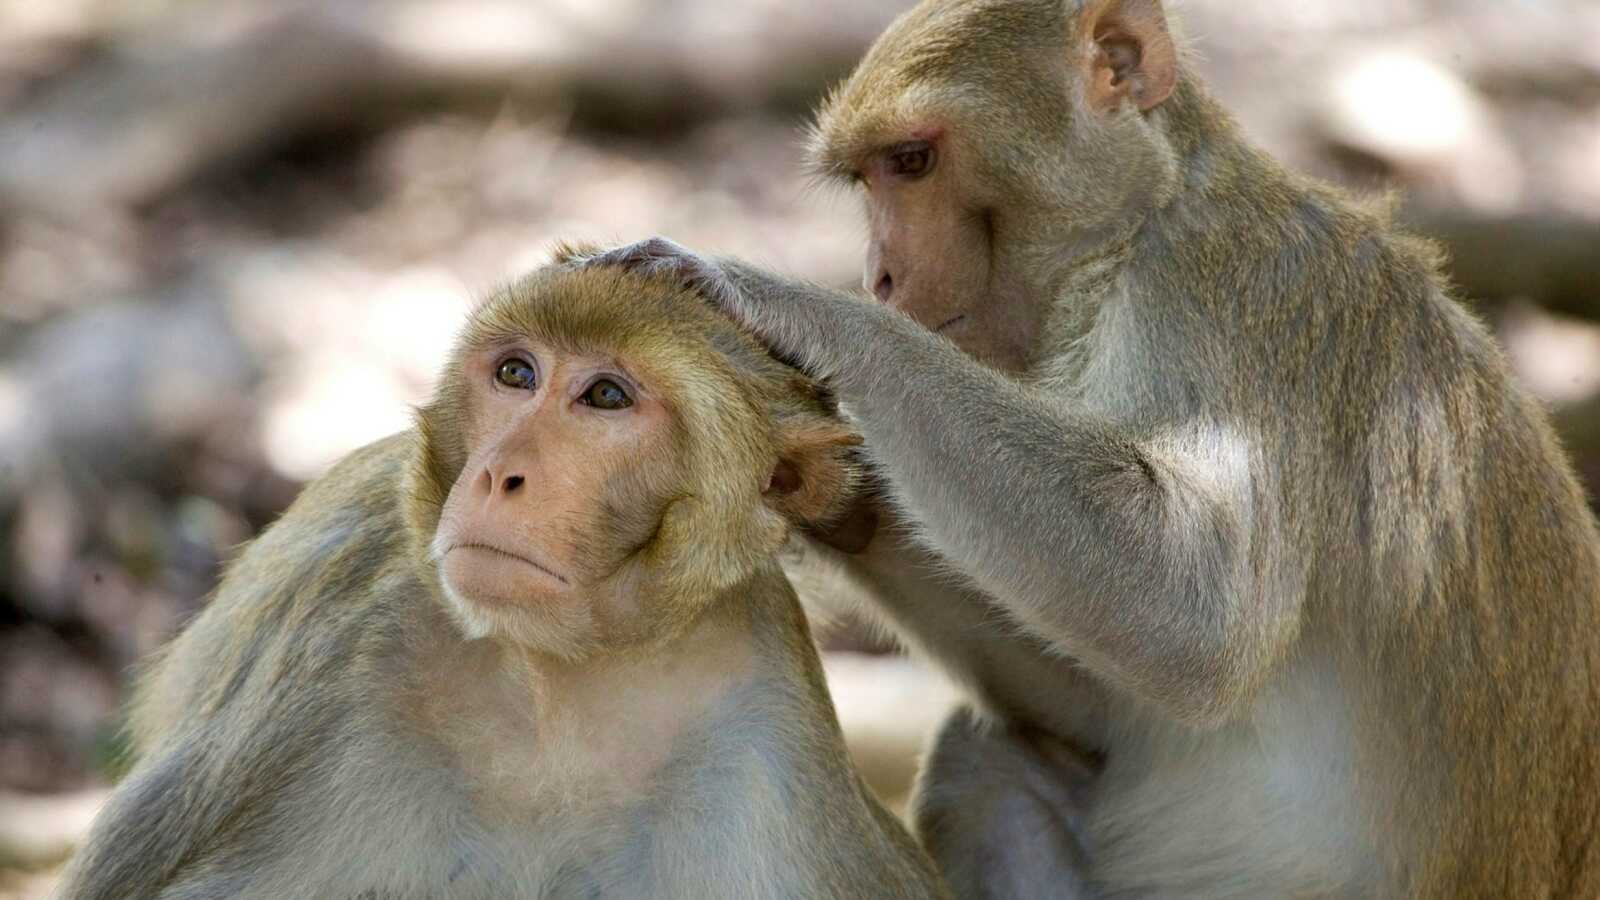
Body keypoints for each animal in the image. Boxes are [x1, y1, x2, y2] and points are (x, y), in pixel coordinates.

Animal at [53, 257, 951, 900]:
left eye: (606, 395)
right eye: (517, 375)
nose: (497, 475)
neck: (562, 679)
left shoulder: (765, 729)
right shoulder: (340, 655)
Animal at [570, 0, 1600, 896]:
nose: (881, 275)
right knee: (984, 763)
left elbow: (1194, 613)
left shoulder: (1227, 299)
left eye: (912, 161)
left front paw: (789, 309)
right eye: (871, 179)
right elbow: (1100, 701)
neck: (1135, 237)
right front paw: (824, 489)